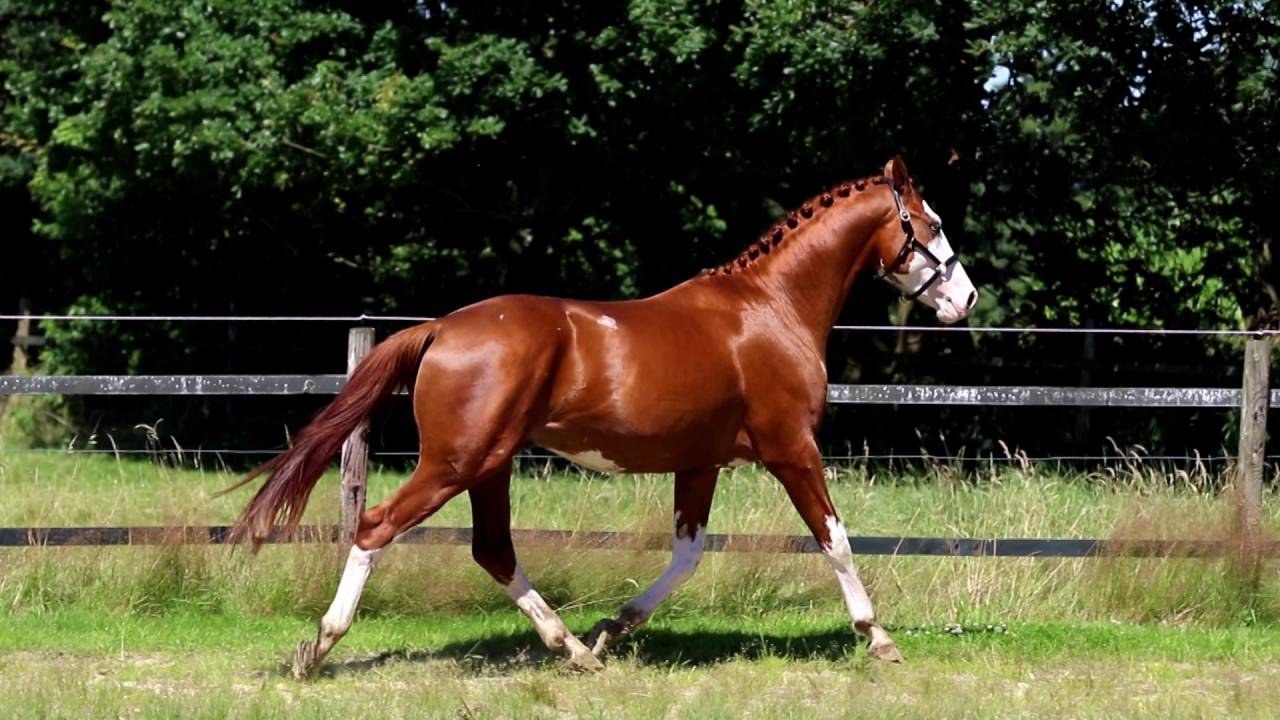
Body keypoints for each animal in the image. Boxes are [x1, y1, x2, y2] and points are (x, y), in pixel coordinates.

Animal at [222, 156, 978, 678]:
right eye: (934, 225)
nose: (966, 299)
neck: (770, 308)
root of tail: (439, 329)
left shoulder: (700, 462)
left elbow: (688, 554)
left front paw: (613, 629)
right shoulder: (791, 448)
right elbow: (835, 540)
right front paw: (878, 637)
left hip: (490, 466)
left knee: (493, 550)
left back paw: (574, 649)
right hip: (455, 463)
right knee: (377, 526)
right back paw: (318, 648)